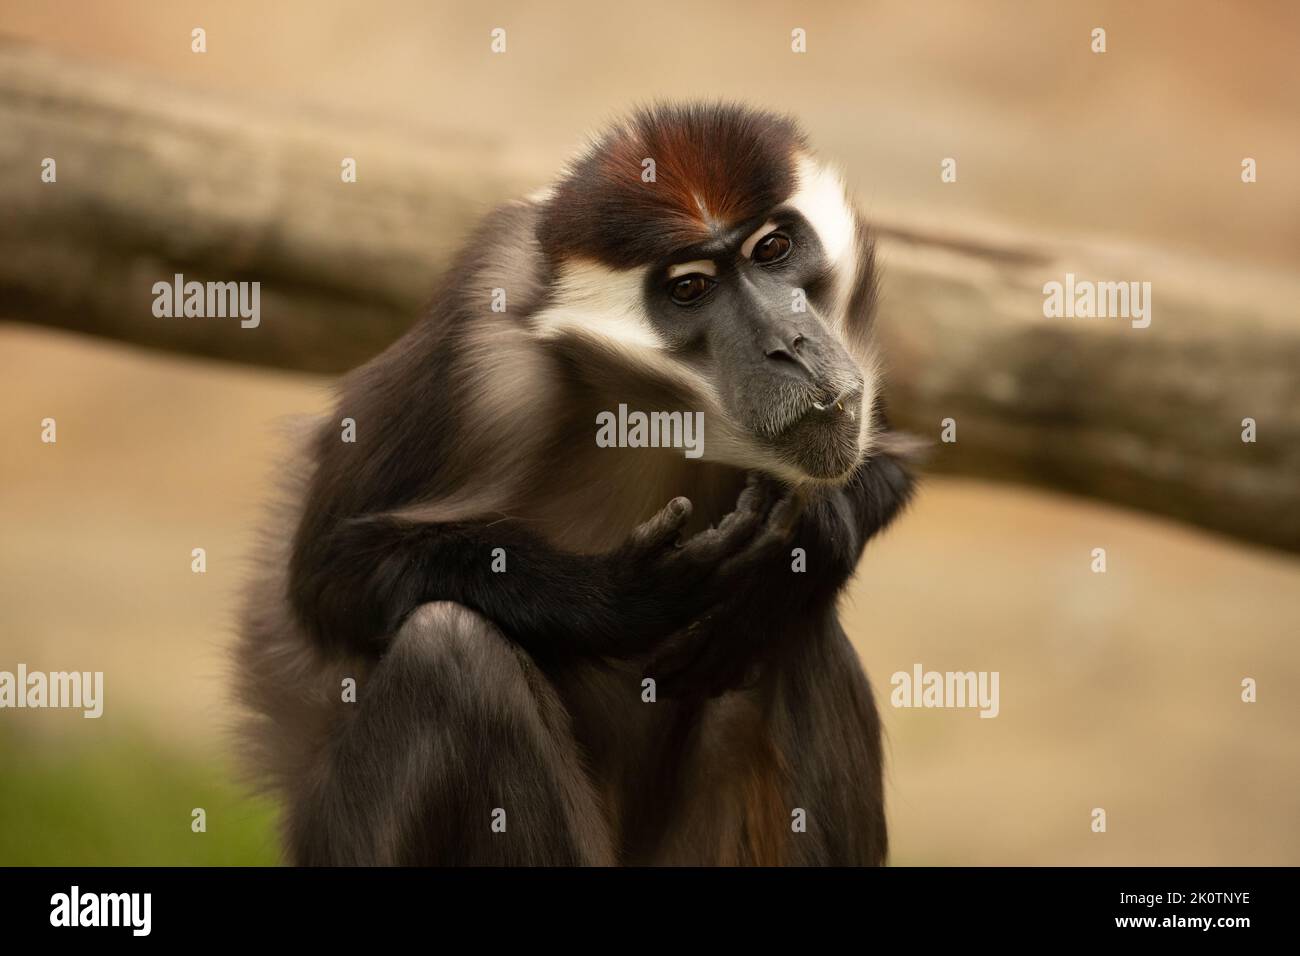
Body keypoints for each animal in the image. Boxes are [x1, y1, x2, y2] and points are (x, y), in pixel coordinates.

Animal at [236, 102, 916, 866]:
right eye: (690, 288)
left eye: (771, 248)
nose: (789, 345)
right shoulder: (482, 350)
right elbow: (325, 577)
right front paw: (617, 597)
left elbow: (879, 467)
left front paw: (803, 548)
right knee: (449, 653)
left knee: (796, 630)